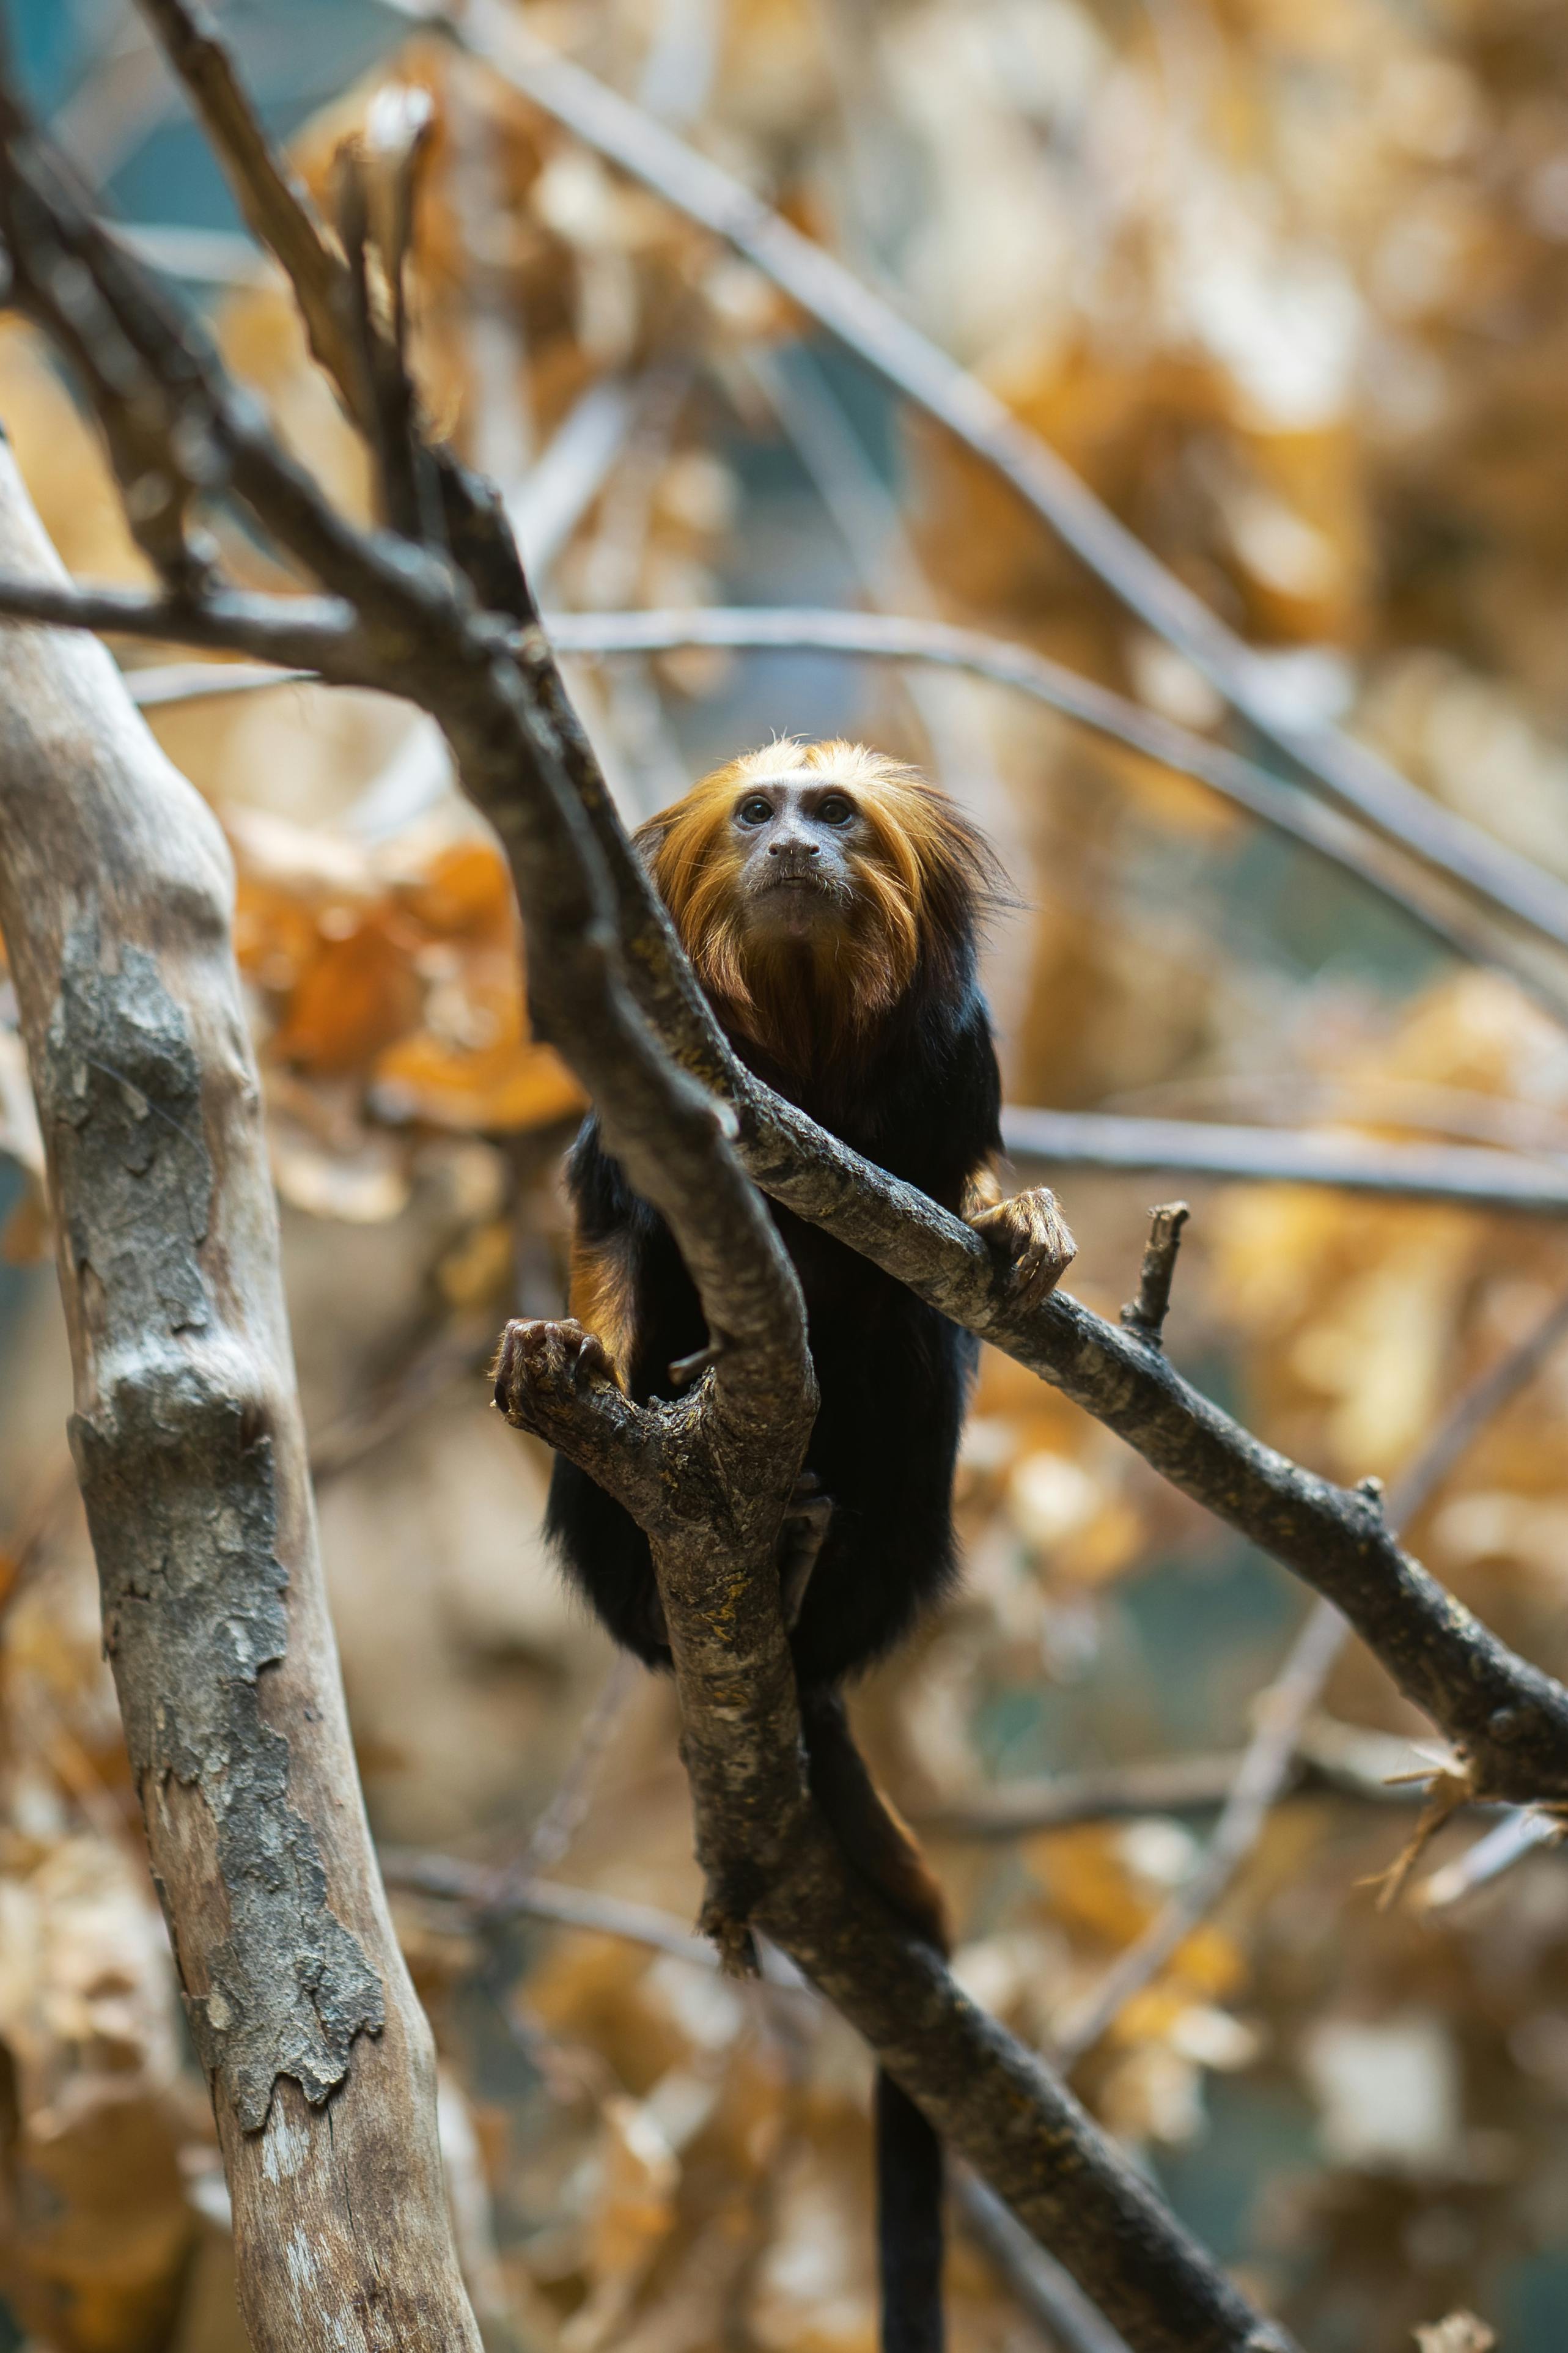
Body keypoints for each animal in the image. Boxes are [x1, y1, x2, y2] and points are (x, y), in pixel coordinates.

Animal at [510, 740, 1073, 2353]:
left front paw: (1021, 1223)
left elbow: (950, 1227)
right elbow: (611, 1213)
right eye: (758, 813)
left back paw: (808, 1542)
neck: (811, 1046)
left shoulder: (954, 1068)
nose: (795, 851)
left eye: (835, 816)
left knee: (907, 1352)